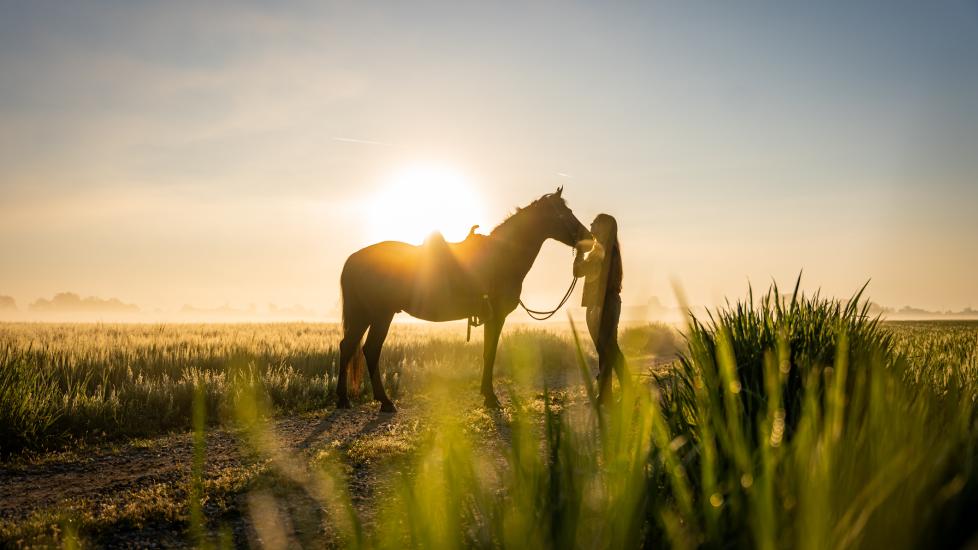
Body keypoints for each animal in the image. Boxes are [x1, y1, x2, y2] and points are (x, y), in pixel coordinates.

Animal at [336, 187, 591, 412]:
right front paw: (490, 397)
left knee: (348, 346)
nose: (589, 239)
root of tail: (354, 259)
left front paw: (486, 393)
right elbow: (490, 352)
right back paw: (384, 401)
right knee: (370, 349)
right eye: (564, 212)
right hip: (380, 315)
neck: (501, 256)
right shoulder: (496, 317)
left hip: (364, 315)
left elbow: (489, 352)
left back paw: (344, 399)